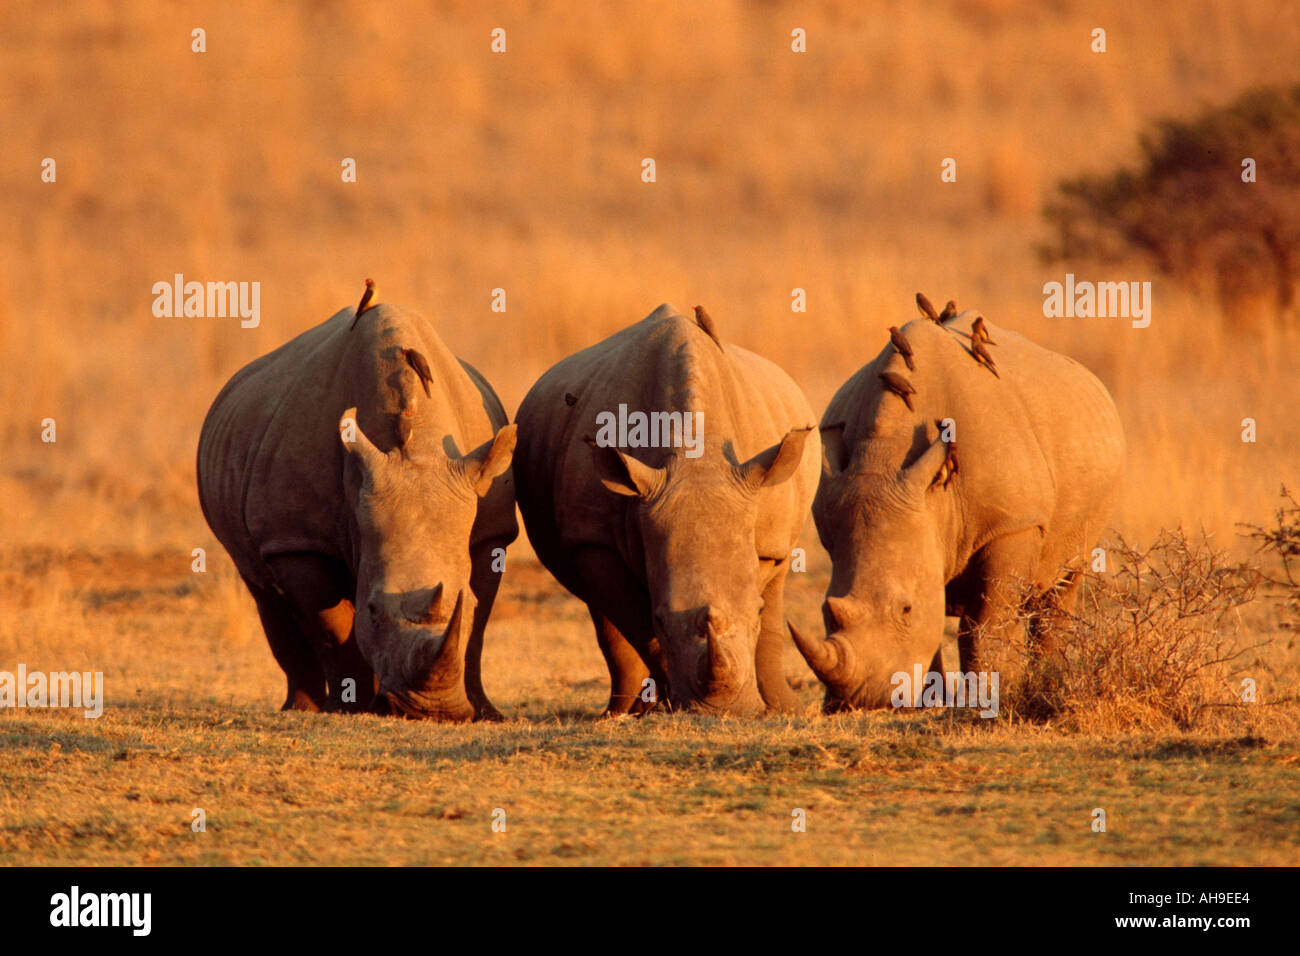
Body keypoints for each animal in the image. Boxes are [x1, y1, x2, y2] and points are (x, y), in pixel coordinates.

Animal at [197, 299, 518, 720]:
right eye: (373, 609)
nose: (430, 710)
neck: (418, 445)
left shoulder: (490, 531)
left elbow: (476, 626)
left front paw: (484, 712)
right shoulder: (299, 540)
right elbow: (331, 625)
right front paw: (349, 708)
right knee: (262, 590)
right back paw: (303, 709)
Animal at [513, 304, 820, 715]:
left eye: (752, 612)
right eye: (661, 618)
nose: (724, 712)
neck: (697, 459)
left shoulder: (763, 524)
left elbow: (764, 607)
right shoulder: (593, 537)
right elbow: (638, 626)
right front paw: (664, 706)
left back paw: (784, 708)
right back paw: (621, 713)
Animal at [793, 307, 1125, 710]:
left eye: (905, 609)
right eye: (826, 612)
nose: (863, 699)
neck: (883, 456)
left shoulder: (1013, 524)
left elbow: (987, 619)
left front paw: (986, 695)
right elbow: (936, 616)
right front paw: (927, 700)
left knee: (1061, 582)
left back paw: (1045, 675)